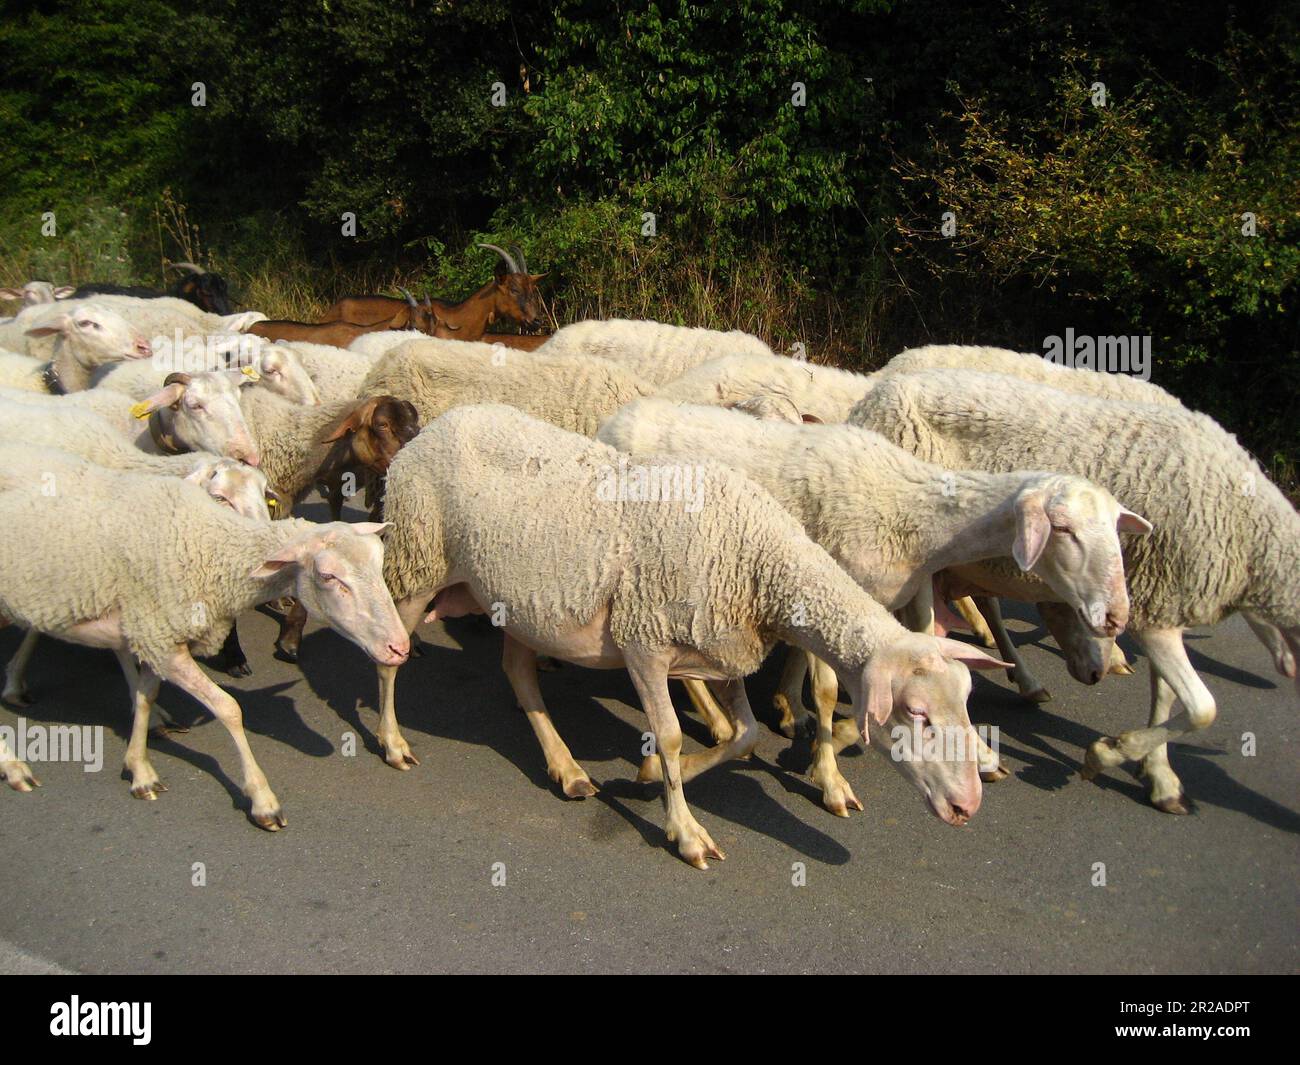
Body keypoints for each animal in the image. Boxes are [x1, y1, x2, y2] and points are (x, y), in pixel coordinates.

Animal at [0, 470, 408, 825]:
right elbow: (229, 709)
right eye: (327, 575)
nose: (400, 647)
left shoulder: (159, 636)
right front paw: (262, 799)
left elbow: (146, 696)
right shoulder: (161, 641)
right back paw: (13, 766)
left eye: (379, 562)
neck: (209, 546)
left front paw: (140, 769)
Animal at [371, 404, 1009, 867]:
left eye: (966, 702)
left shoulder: (722, 650)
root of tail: (441, 422)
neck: (758, 557)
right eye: (917, 714)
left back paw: (567, 768)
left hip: (521, 598)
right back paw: (393, 742)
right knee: (390, 657)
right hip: (418, 560)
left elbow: (745, 735)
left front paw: (651, 776)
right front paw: (684, 829)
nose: (968, 805)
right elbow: (673, 736)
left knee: (519, 674)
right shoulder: (643, 643)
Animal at [596, 397, 1148, 807]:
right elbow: (825, 690)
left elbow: (924, 649)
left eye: (1114, 529)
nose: (1116, 616)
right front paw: (829, 776)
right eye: (1064, 529)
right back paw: (713, 721)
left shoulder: (909, 594)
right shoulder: (835, 590)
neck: (917, 514)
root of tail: (617, 418)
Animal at [848, 369, 1300, 813]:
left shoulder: (1164, 604)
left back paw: (1023, 680)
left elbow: (1168, 697)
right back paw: (983, 751)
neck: (1250, 532)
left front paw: (1159, 775)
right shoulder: (1155, 610)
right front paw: (1108, 753)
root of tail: (879, 392)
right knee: (927, 640)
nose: (1290, 669)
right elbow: (1202, 708)